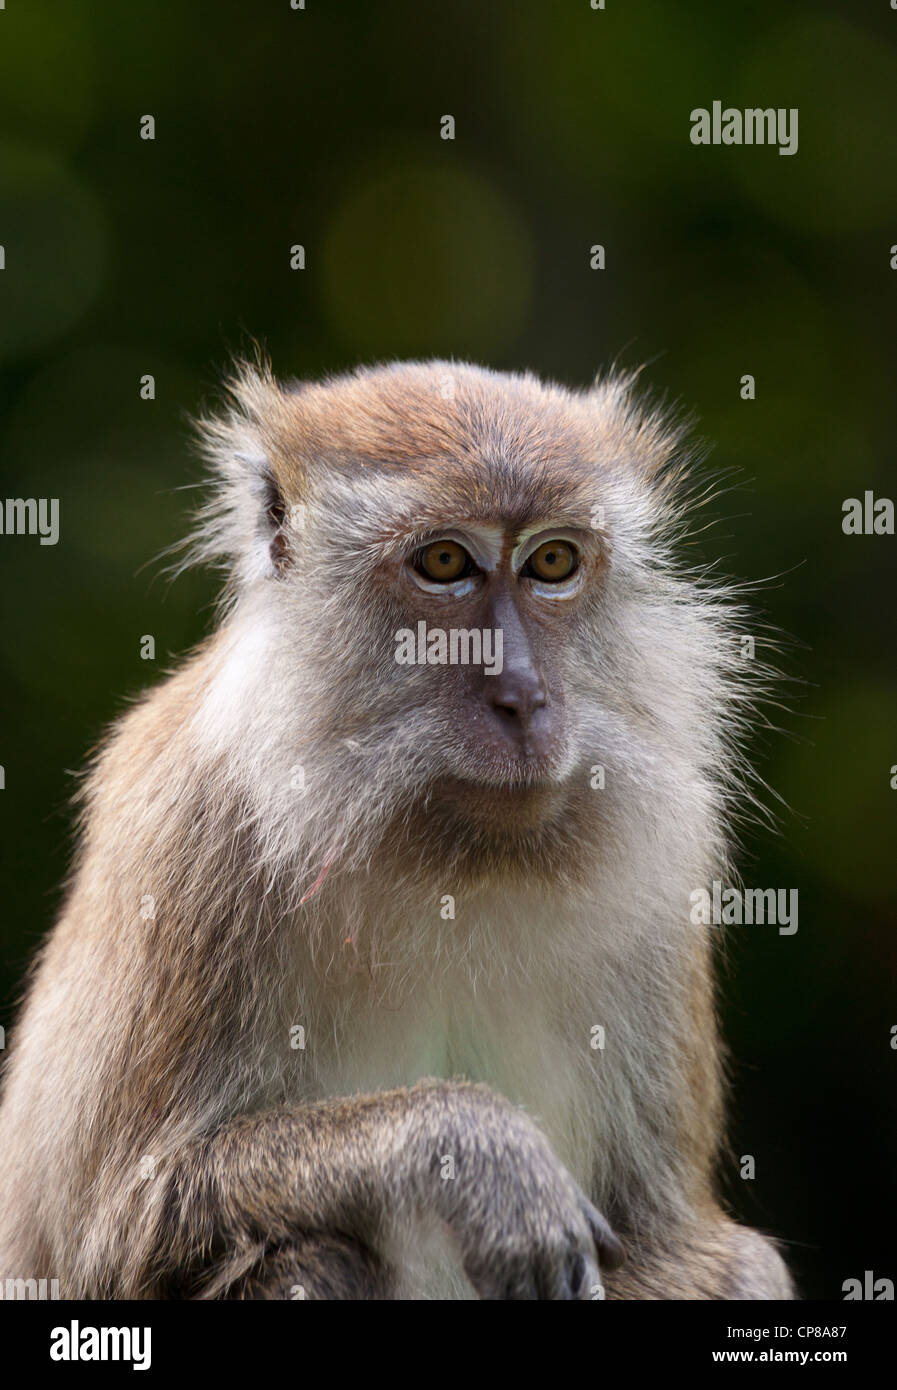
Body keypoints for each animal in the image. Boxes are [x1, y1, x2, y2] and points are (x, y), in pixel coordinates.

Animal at [0, 358, 793, 1300]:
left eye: (552, 562)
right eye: (445, 563)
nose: (523, 697)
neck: (446, 855)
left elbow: (675, 1241)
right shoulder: (188, 835)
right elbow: (107, 1230)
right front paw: (471, 1149)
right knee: (308, 1258)